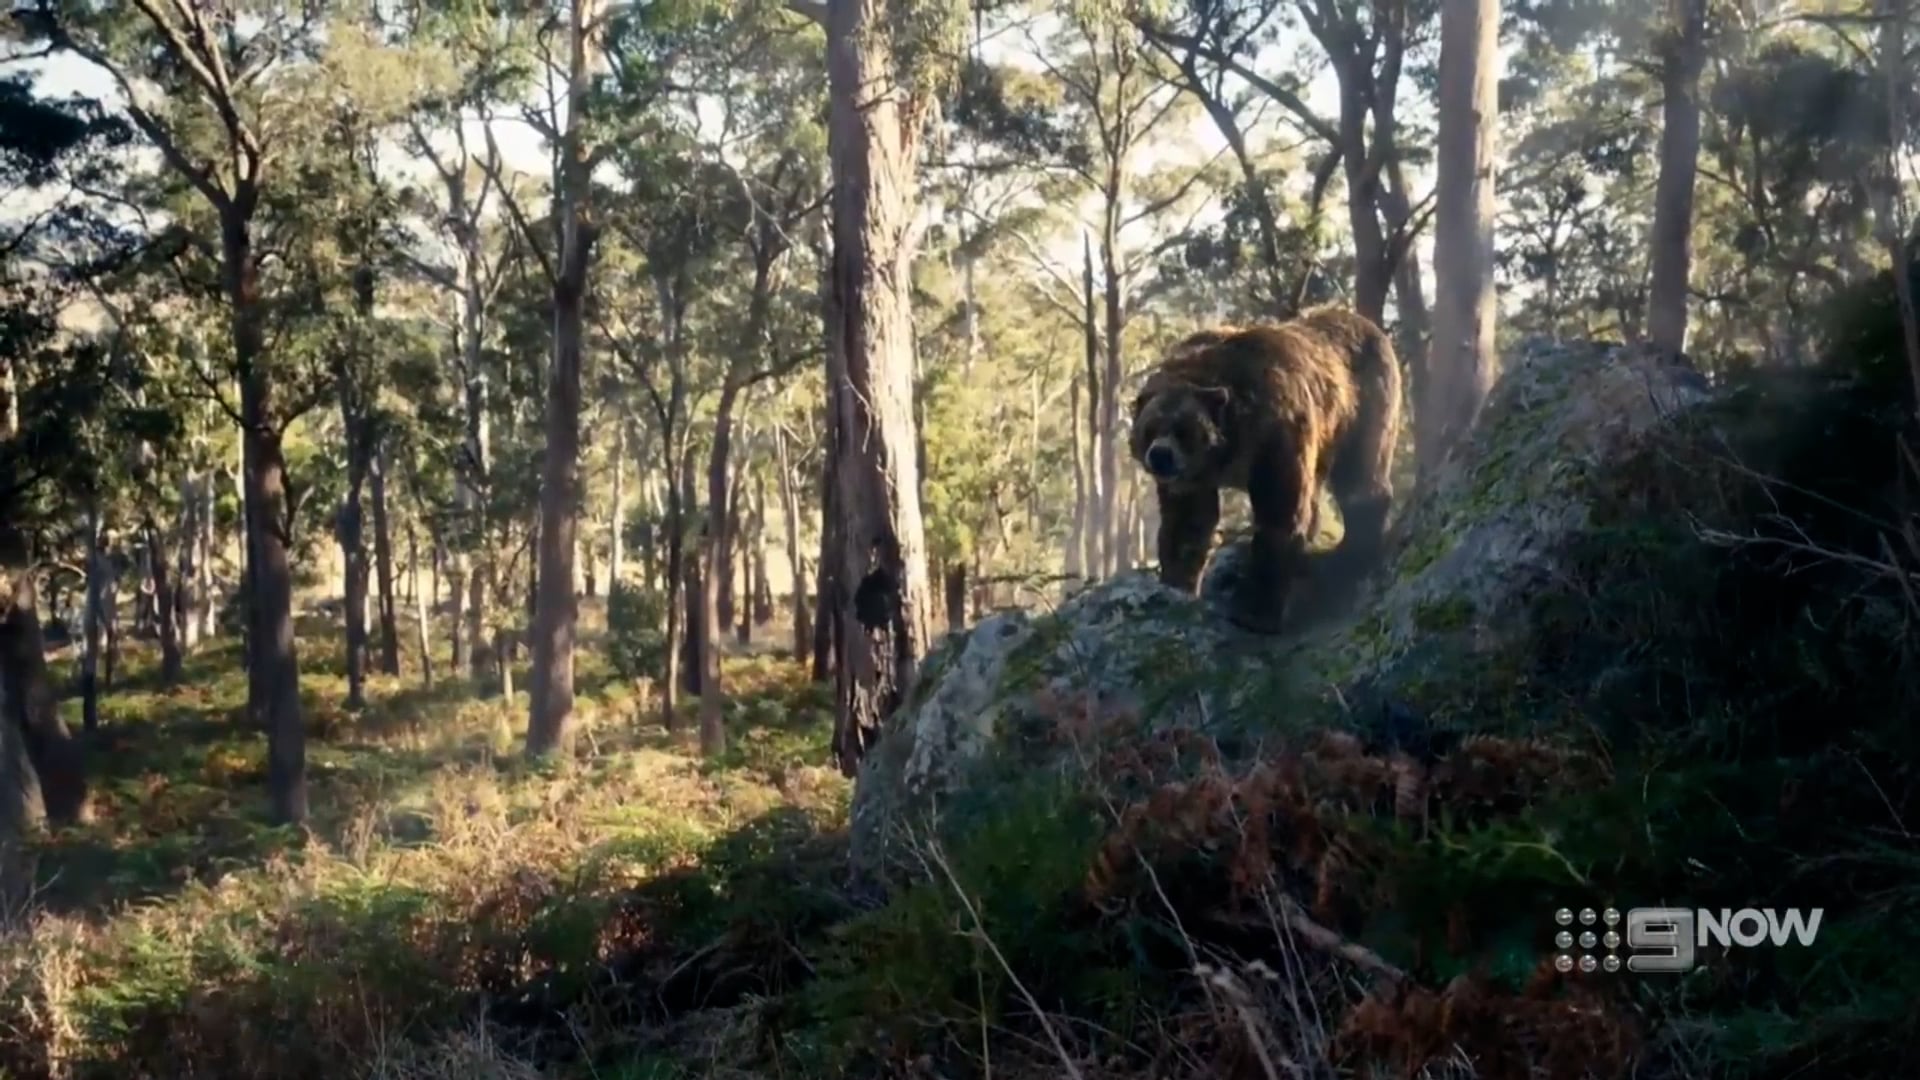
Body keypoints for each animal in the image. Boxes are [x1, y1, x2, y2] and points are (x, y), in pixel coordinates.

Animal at [1128, 305, 1402, 634]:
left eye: (1183, 430)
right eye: (1150, 429)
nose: (1160, 456)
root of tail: (1366, 323)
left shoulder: (1276, 435)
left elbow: (1279, 513)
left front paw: (1254, 611)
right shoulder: (1192, 480)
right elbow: (1188, 523)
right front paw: (1176, 583)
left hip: (1363, 406)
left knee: (1360, 477)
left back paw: (1355, 551)